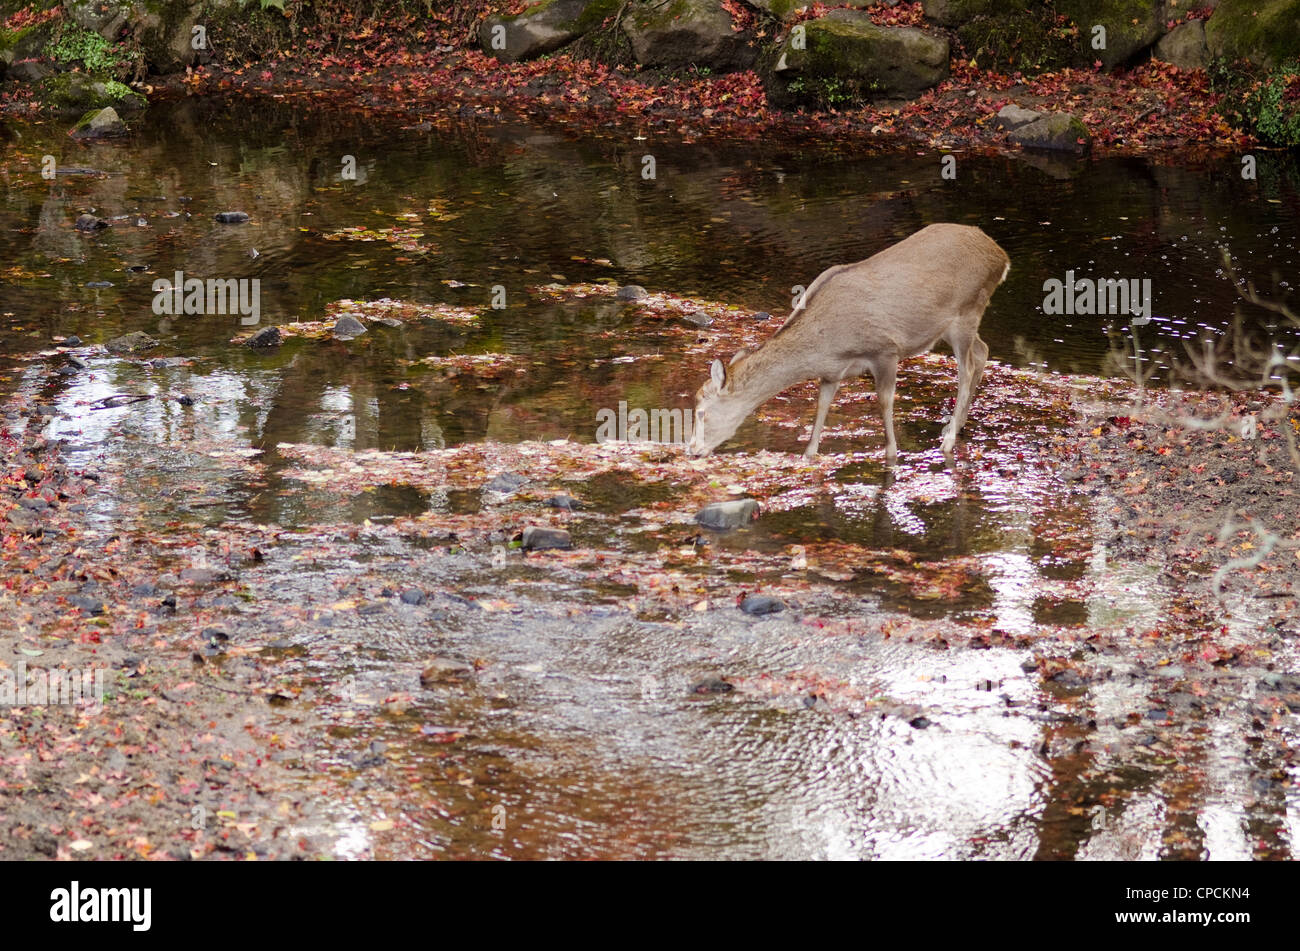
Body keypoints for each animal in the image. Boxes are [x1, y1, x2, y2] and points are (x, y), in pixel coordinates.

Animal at [686, 223, 1010, 461]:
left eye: (701, 411)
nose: (691, 450)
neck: (828, 344)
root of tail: (1001, 256)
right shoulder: (832, 373)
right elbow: (821, 408)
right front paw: (809, 453)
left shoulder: (885, 349)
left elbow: (884, 403)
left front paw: (892, 453)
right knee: (983, 351)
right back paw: (957, 424)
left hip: (967, 310)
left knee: (967, 368)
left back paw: (949, 439)